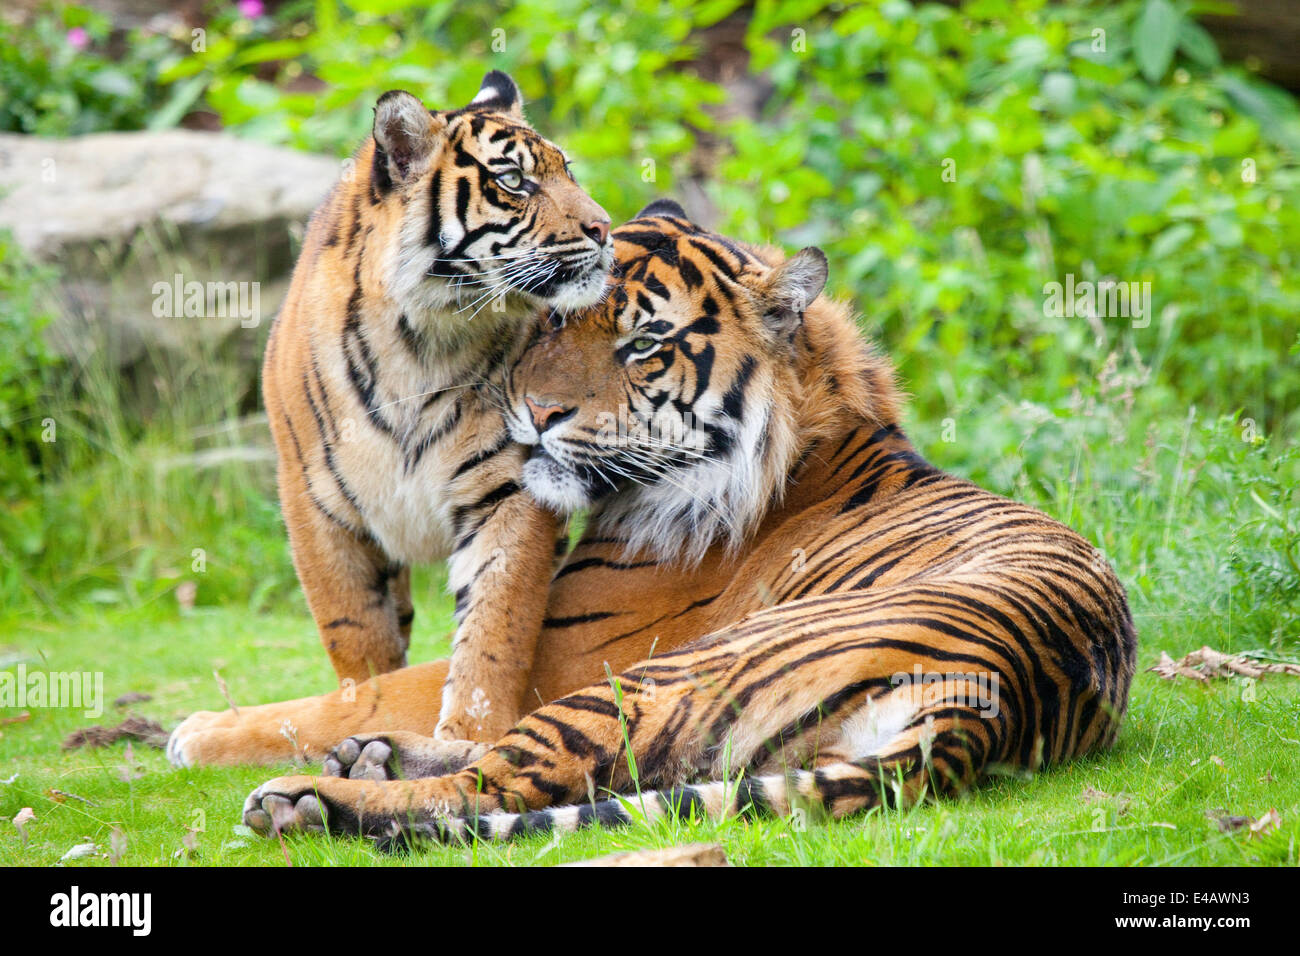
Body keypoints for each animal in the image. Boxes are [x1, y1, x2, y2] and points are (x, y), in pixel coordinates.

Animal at [167, 71, 613, 755]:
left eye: (569, 170)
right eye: (515, 180)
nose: (605, 228)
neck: (428, 335)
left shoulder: (511, 491)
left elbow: (495, 624)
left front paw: (471, 734)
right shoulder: (316, 507)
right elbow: (358, 639)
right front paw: (362, 713)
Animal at [233, 202, 1138, 843]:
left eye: (643, 345)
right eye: (554, 319)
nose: (536, 412)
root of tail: (984, 703)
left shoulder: (567, 653)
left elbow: (366, 695)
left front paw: (219, 731)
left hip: (651, 679)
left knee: (489, 786)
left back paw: (309, 798)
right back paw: (372, 757)